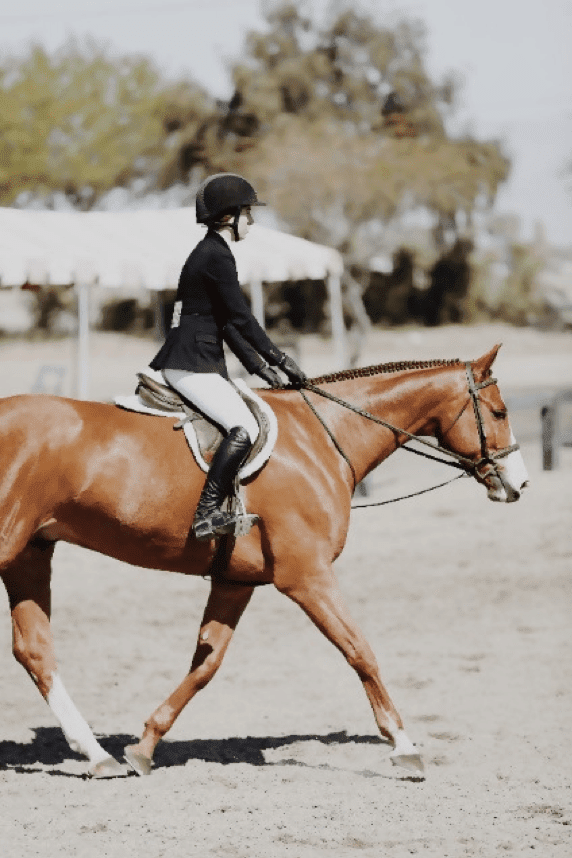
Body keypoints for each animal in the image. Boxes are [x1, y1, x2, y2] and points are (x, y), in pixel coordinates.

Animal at [0, 344, 527, 779]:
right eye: (499, 412)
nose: (518, 484)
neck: (323, 438)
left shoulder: (236, 581)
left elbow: (206, 663)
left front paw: (144, 746)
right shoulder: (307, 575)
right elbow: (359, 649)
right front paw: (403, 746)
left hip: (30, 554)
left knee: (34, 651)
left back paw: (98, 756)